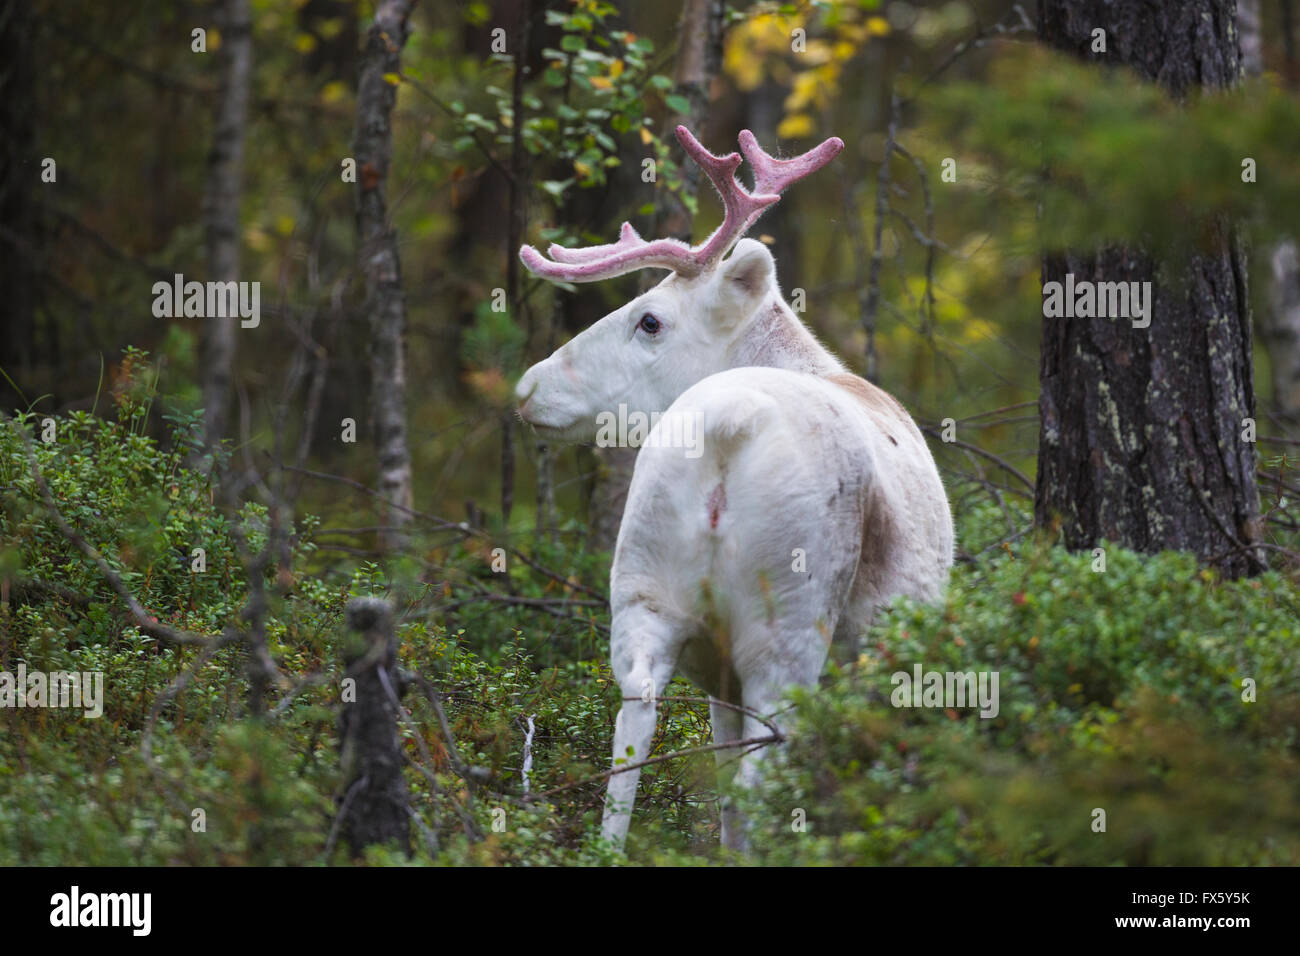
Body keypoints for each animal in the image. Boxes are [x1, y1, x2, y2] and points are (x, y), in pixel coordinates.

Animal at [515, 125, 953, 852]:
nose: (527, 386)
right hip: (791, 620)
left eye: (650, 319)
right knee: (762, 768)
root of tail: (728, 423)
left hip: (644, 586)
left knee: (637, 722)